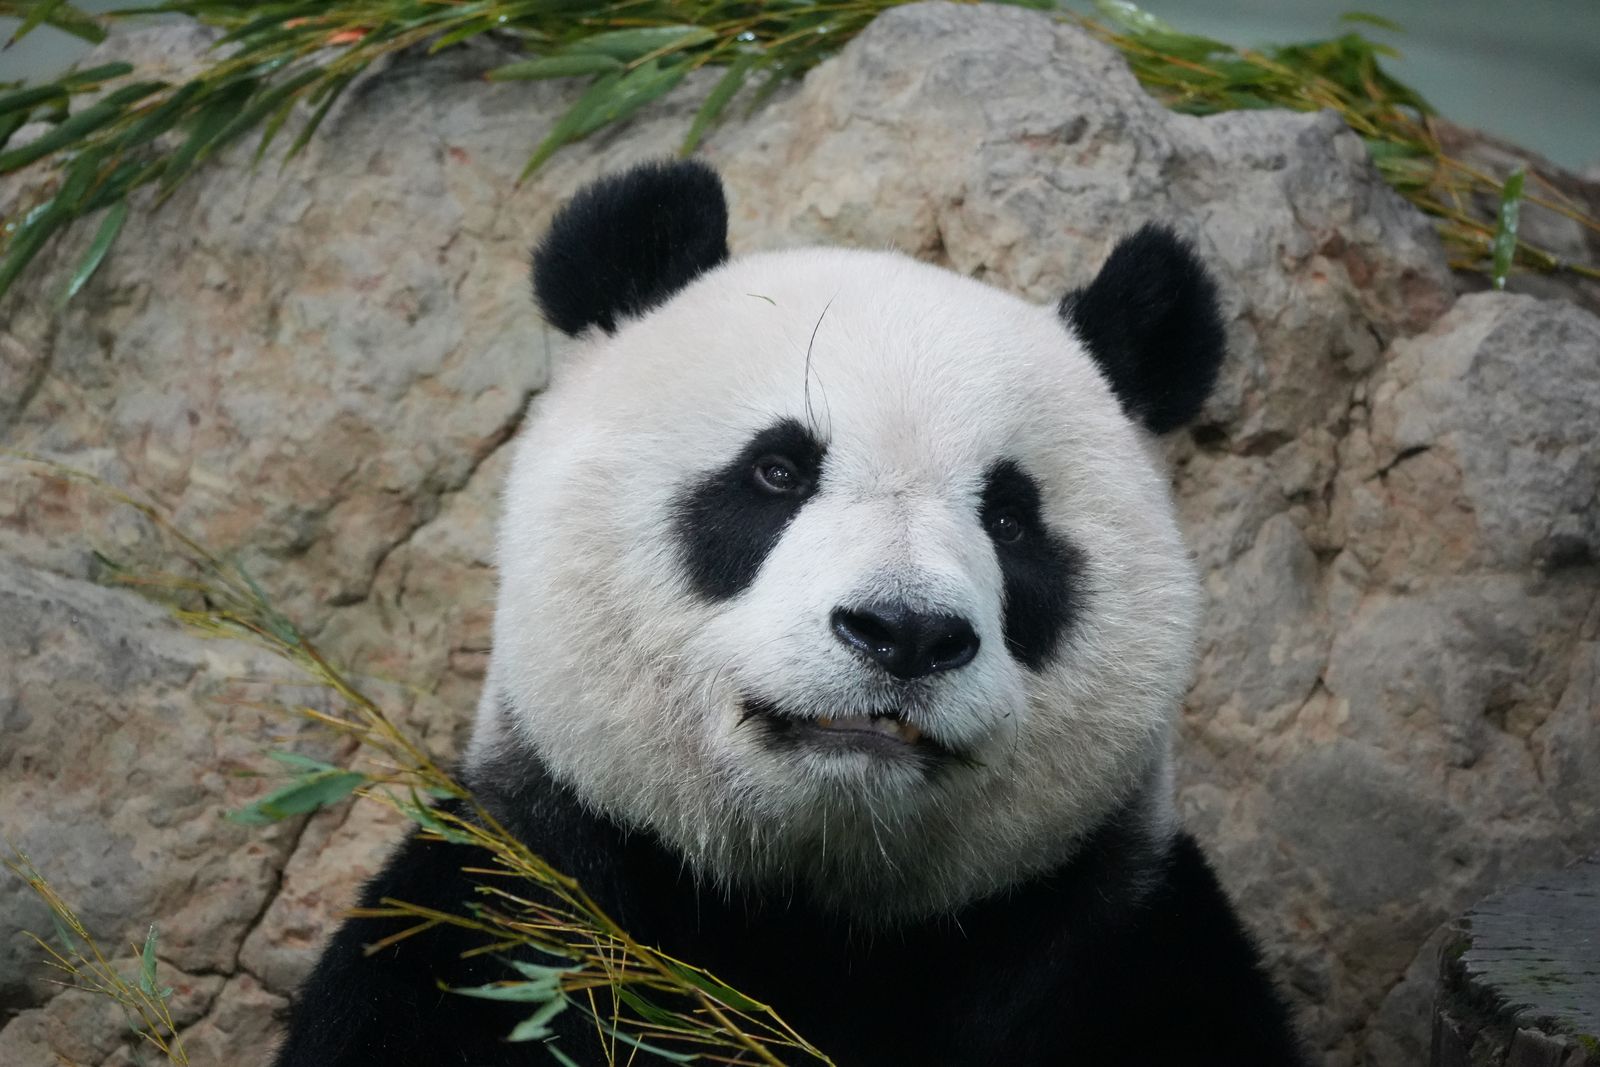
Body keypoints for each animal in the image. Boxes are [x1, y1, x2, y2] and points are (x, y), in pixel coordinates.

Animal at [274, 159, 1307, 1066]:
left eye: (1013, 520)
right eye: (776, 470)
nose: (905, 632)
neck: (815, 914)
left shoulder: (1120, 951)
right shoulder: (516, 918)